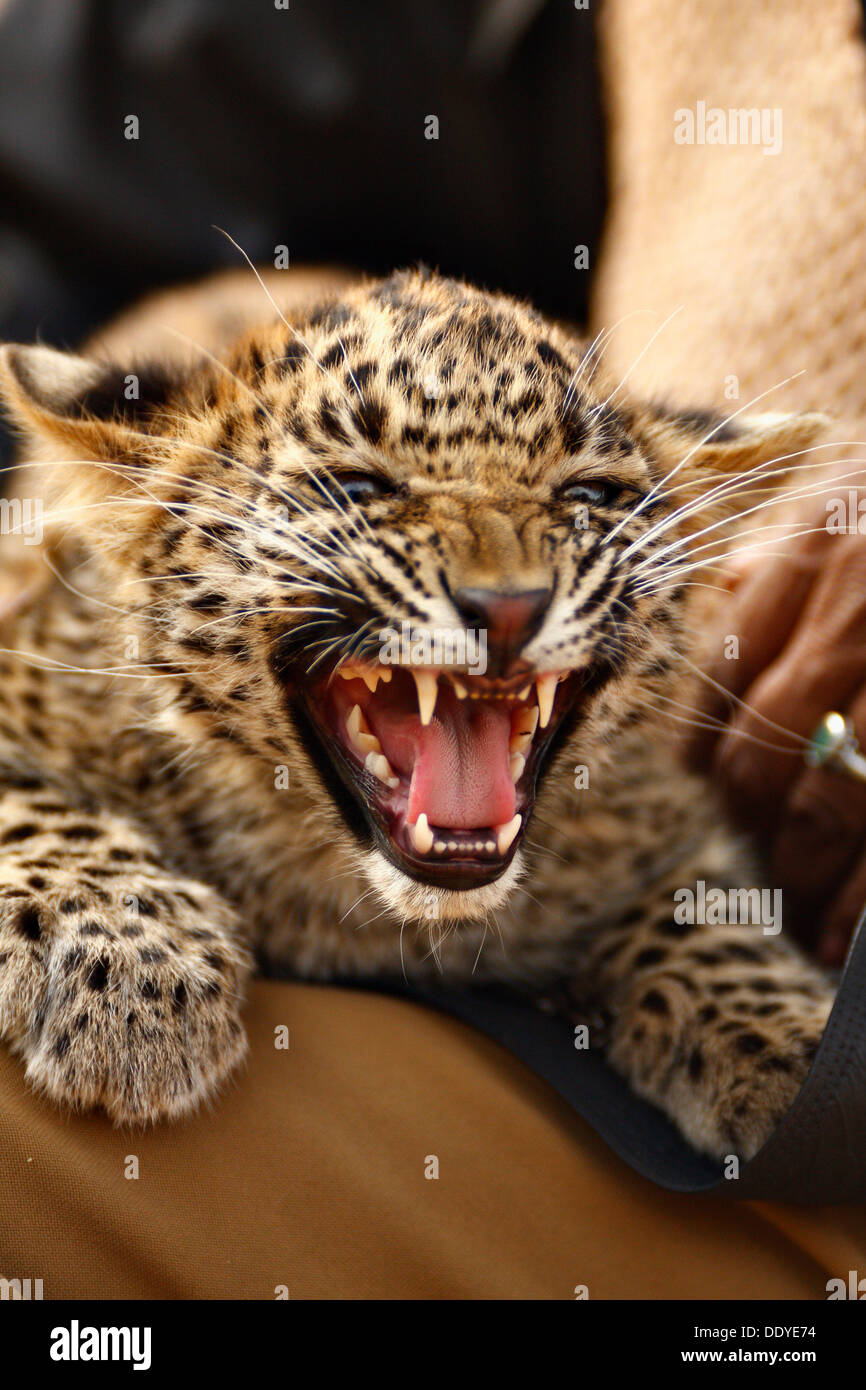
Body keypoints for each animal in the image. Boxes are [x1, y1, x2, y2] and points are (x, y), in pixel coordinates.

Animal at [0, 263, 835, 1160]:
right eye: (357, 490)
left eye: (588, 496)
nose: (508, 608)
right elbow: (42, 810)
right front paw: (128, 969)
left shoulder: (670, 818)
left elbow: (705, 911)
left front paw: (790, 1039)